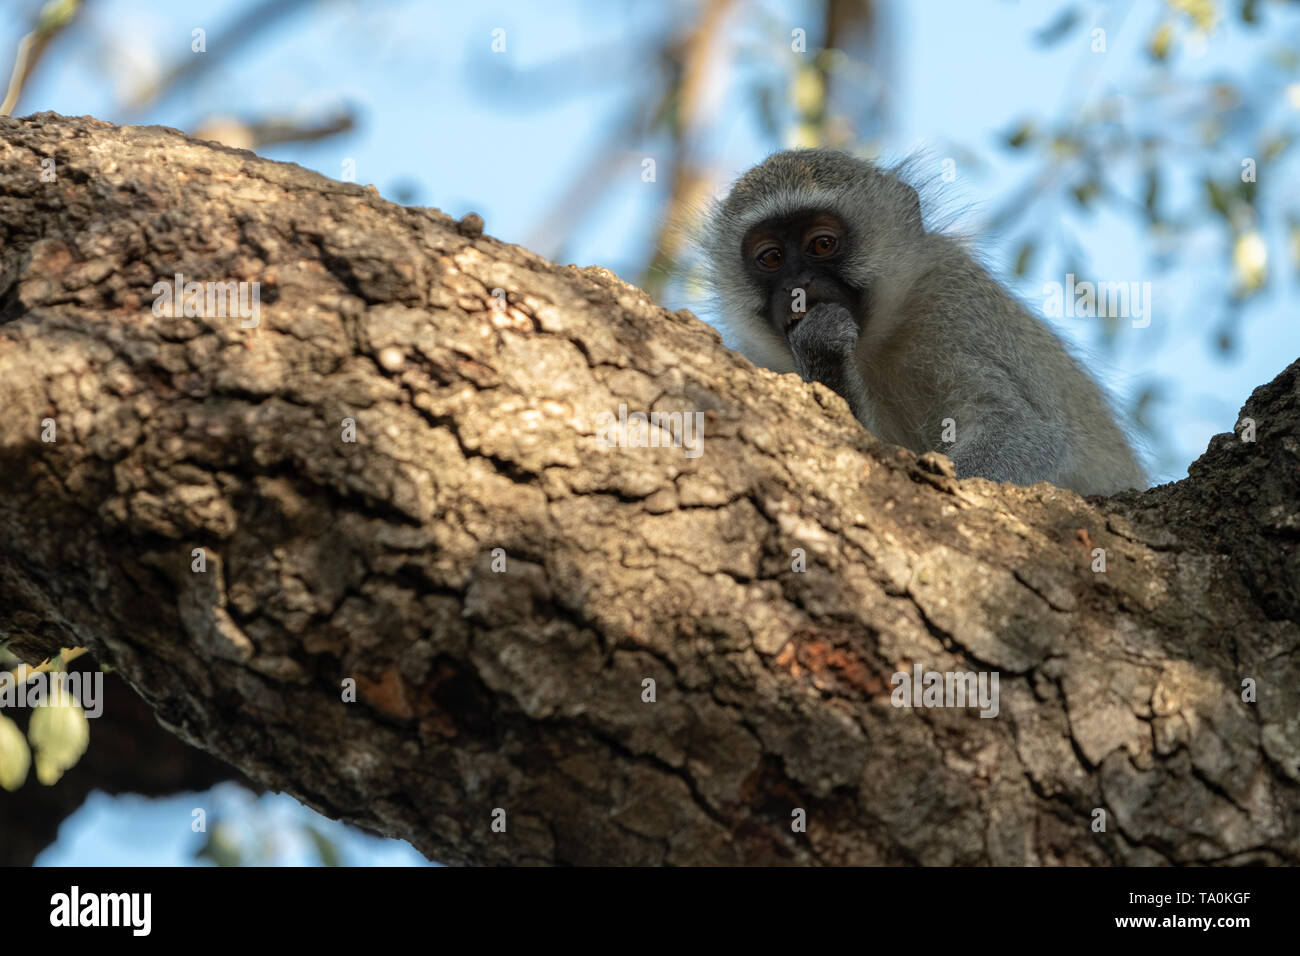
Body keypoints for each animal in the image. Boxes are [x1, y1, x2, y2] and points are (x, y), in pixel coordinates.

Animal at [704, 148, 1146, 496]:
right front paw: (822, 352)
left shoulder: (953, 302)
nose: (798, 285)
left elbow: (1022, 430)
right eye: (772, 257)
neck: (870, 349)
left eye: (822, 244)